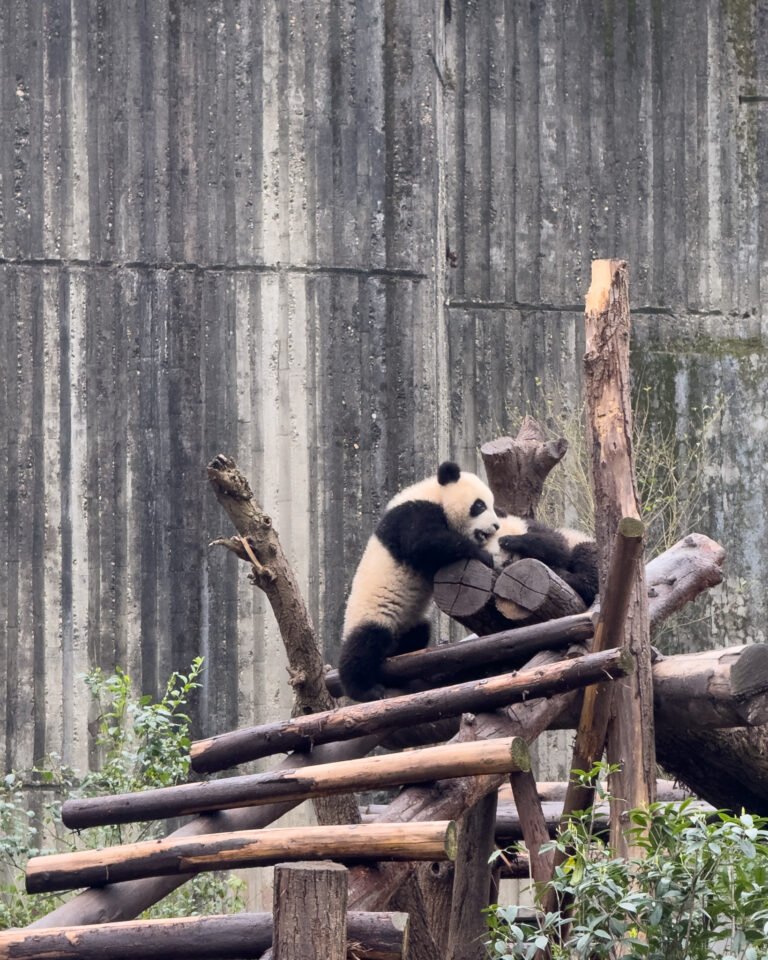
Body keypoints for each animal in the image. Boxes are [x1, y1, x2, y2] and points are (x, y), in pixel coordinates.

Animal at [338, 461, 500, 701]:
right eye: (479, 505)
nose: (496, 526)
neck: (435, 494)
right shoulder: (411, 514)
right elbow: (425, 544)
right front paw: (485, 556)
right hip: (372, 613)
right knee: (365, 644)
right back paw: (364, 689)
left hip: (410, 622)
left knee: (418, 632)